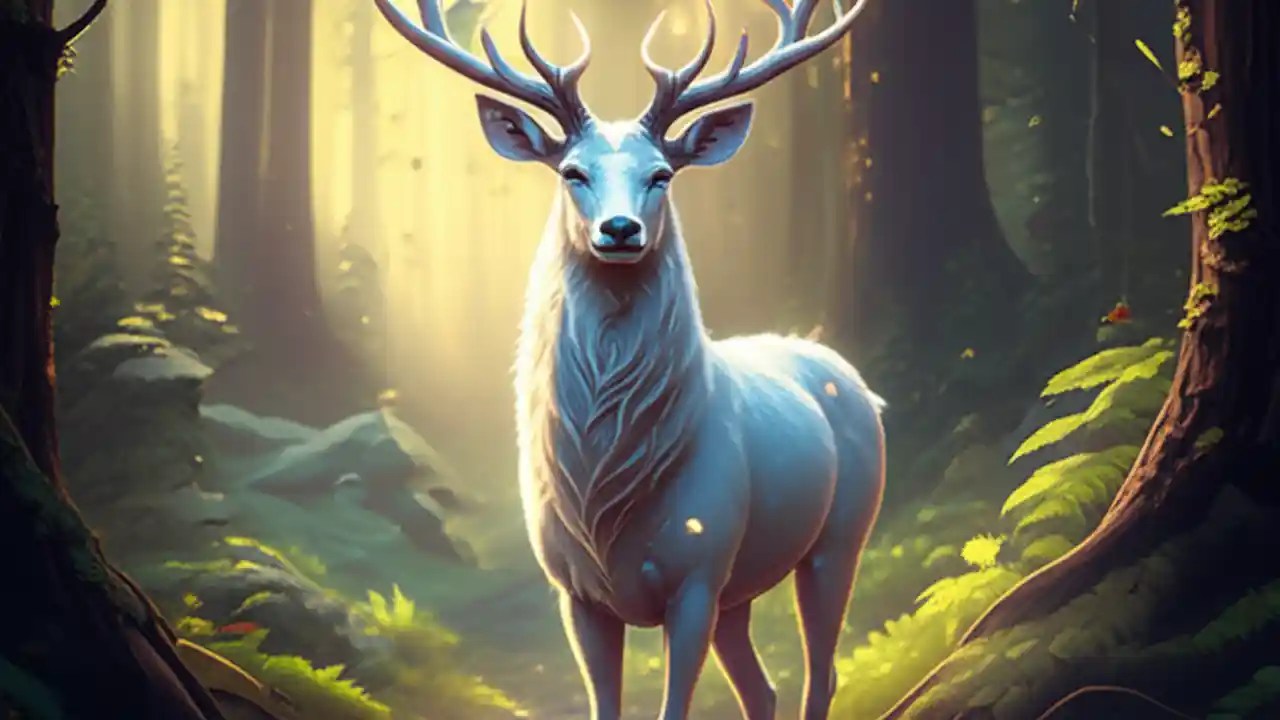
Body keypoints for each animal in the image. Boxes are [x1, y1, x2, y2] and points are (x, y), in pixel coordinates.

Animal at [373, 1, 884, 718]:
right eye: (572, 171)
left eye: (660, 174)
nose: (620, 229)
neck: (609, 493)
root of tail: (857, 380)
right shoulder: (576, 590)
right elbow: (603, 703)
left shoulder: (697, 572)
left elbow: (676, 705)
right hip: (741, 586)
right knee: (763, 688)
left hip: (840, 536)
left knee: (822, 673)